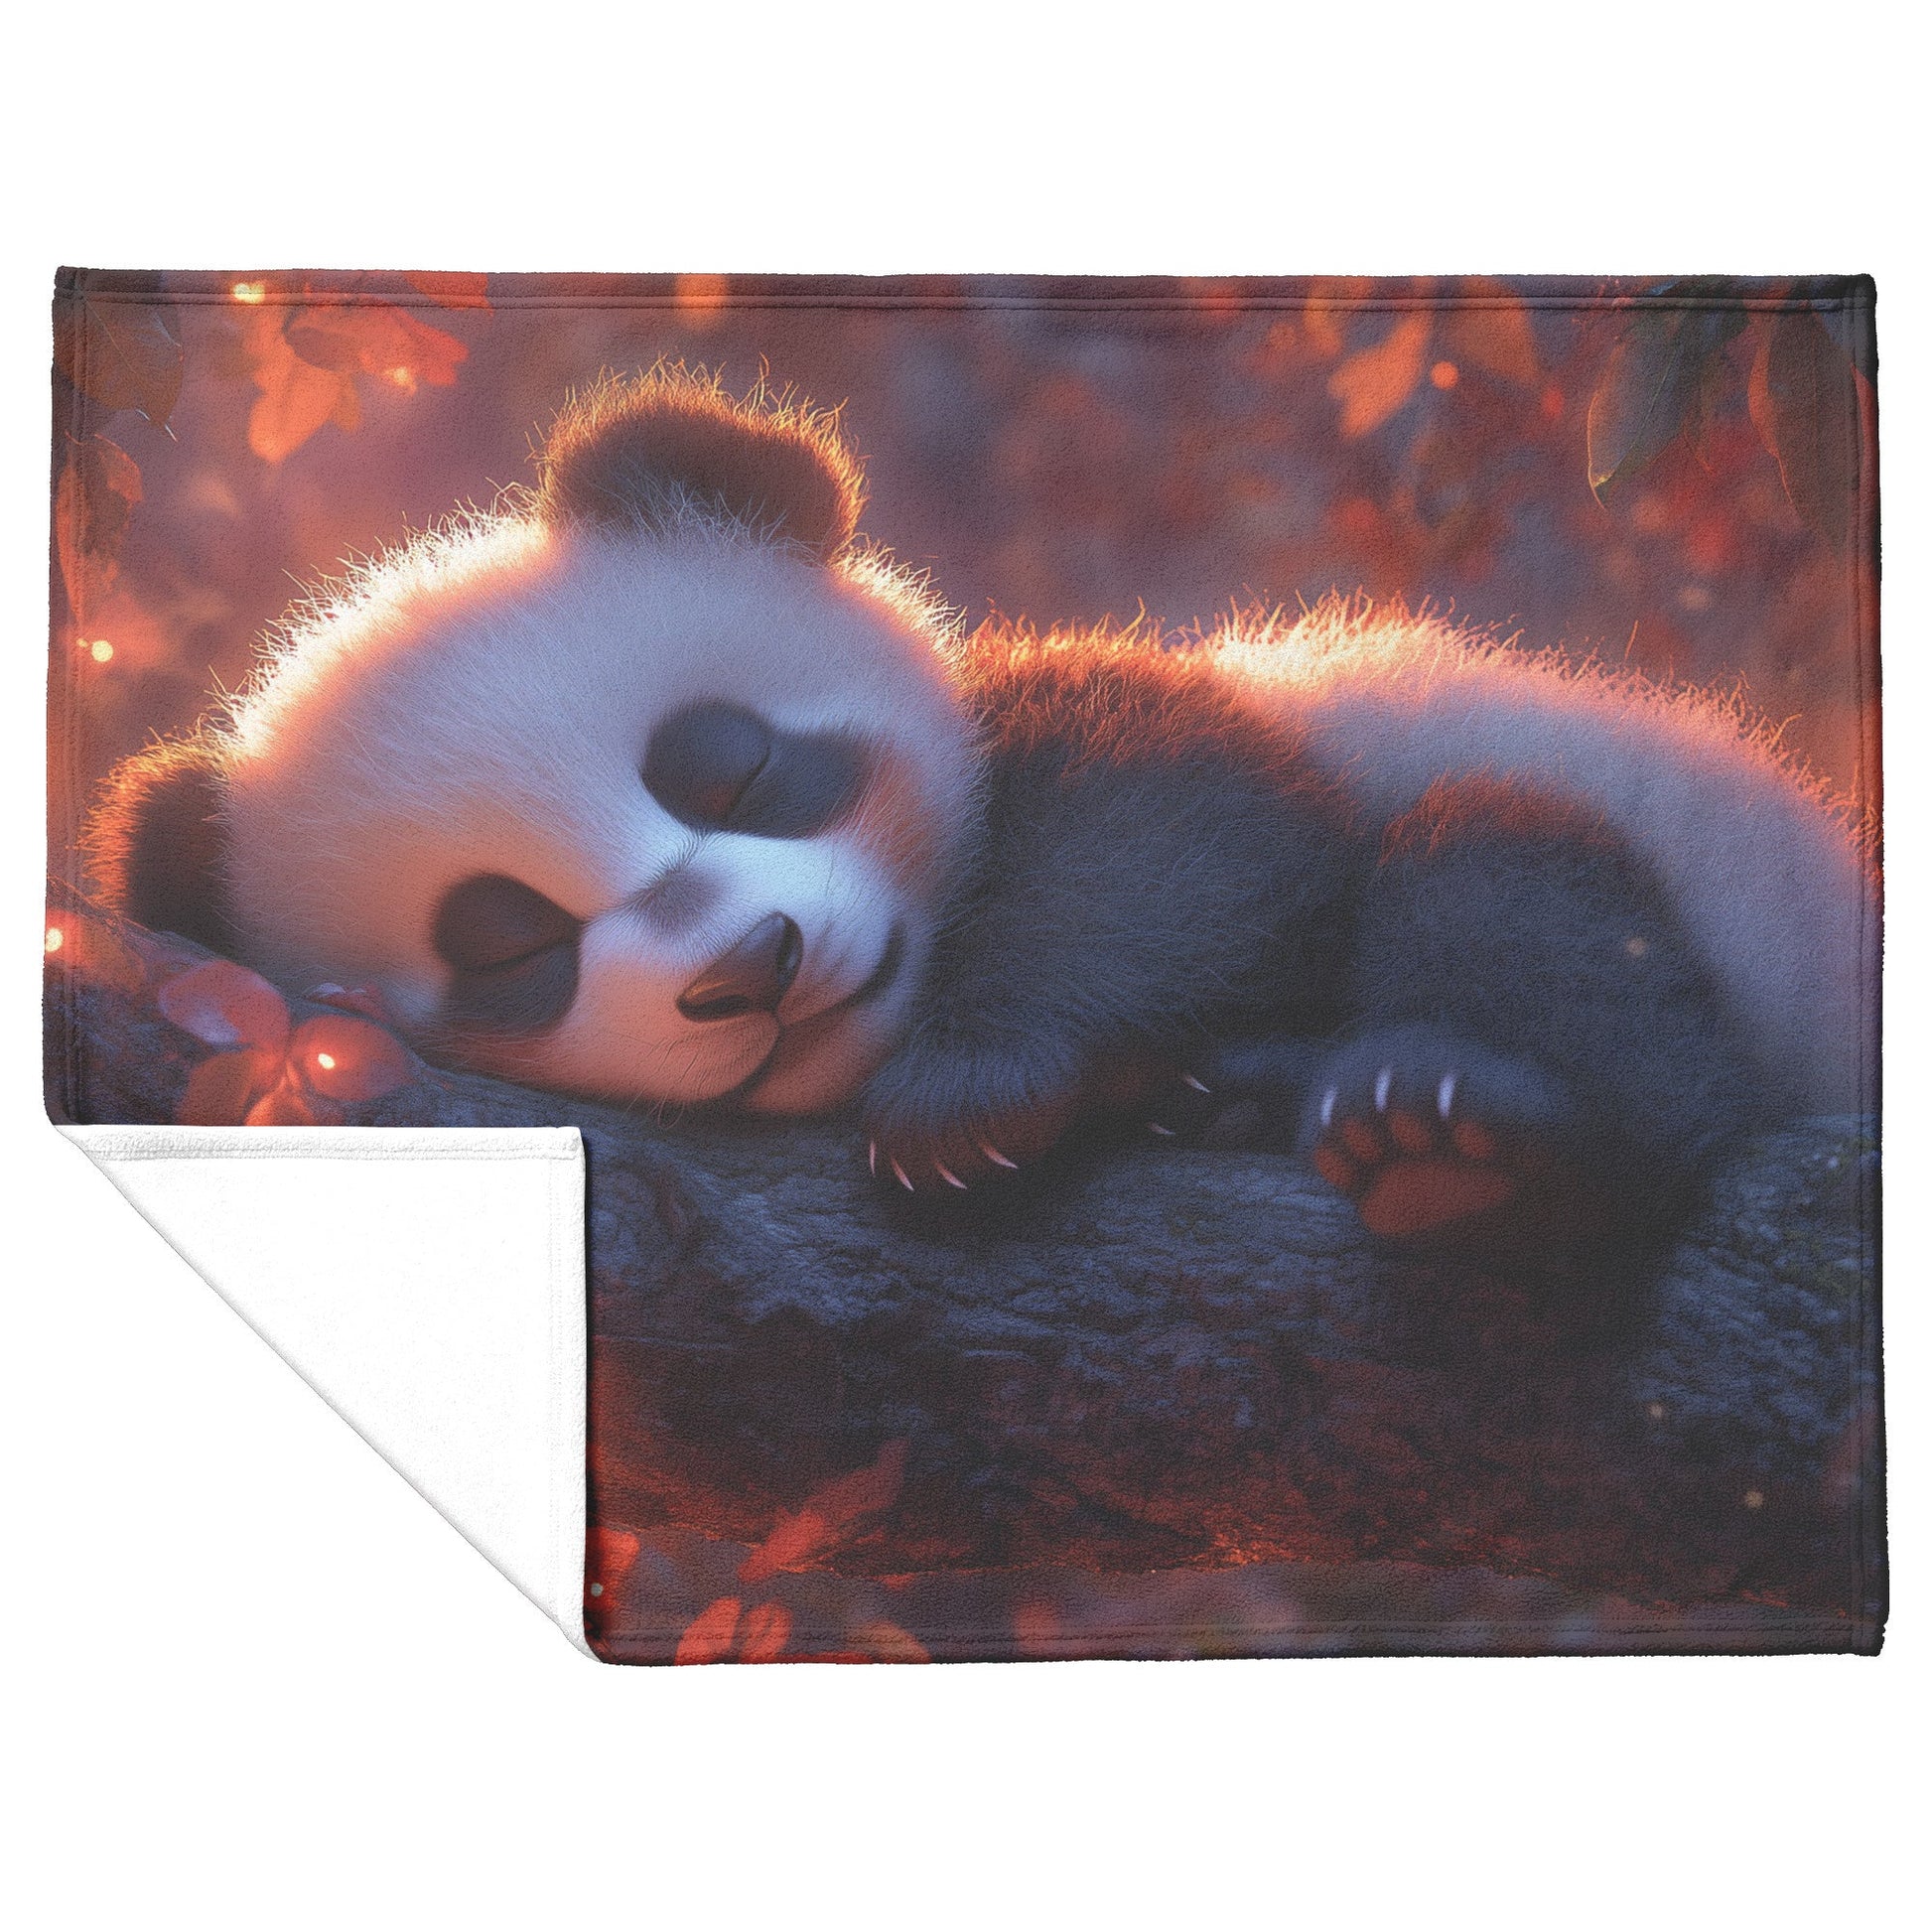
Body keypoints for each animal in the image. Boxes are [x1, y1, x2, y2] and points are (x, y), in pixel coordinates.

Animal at [87, 366, 1876, 1253]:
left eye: (728, 766)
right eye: (513, 945)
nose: (751, 968)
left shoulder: (1143, 725)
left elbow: (1192, 836)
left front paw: (974, 1096)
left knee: (1517, 886)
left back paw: (1449, 1133)